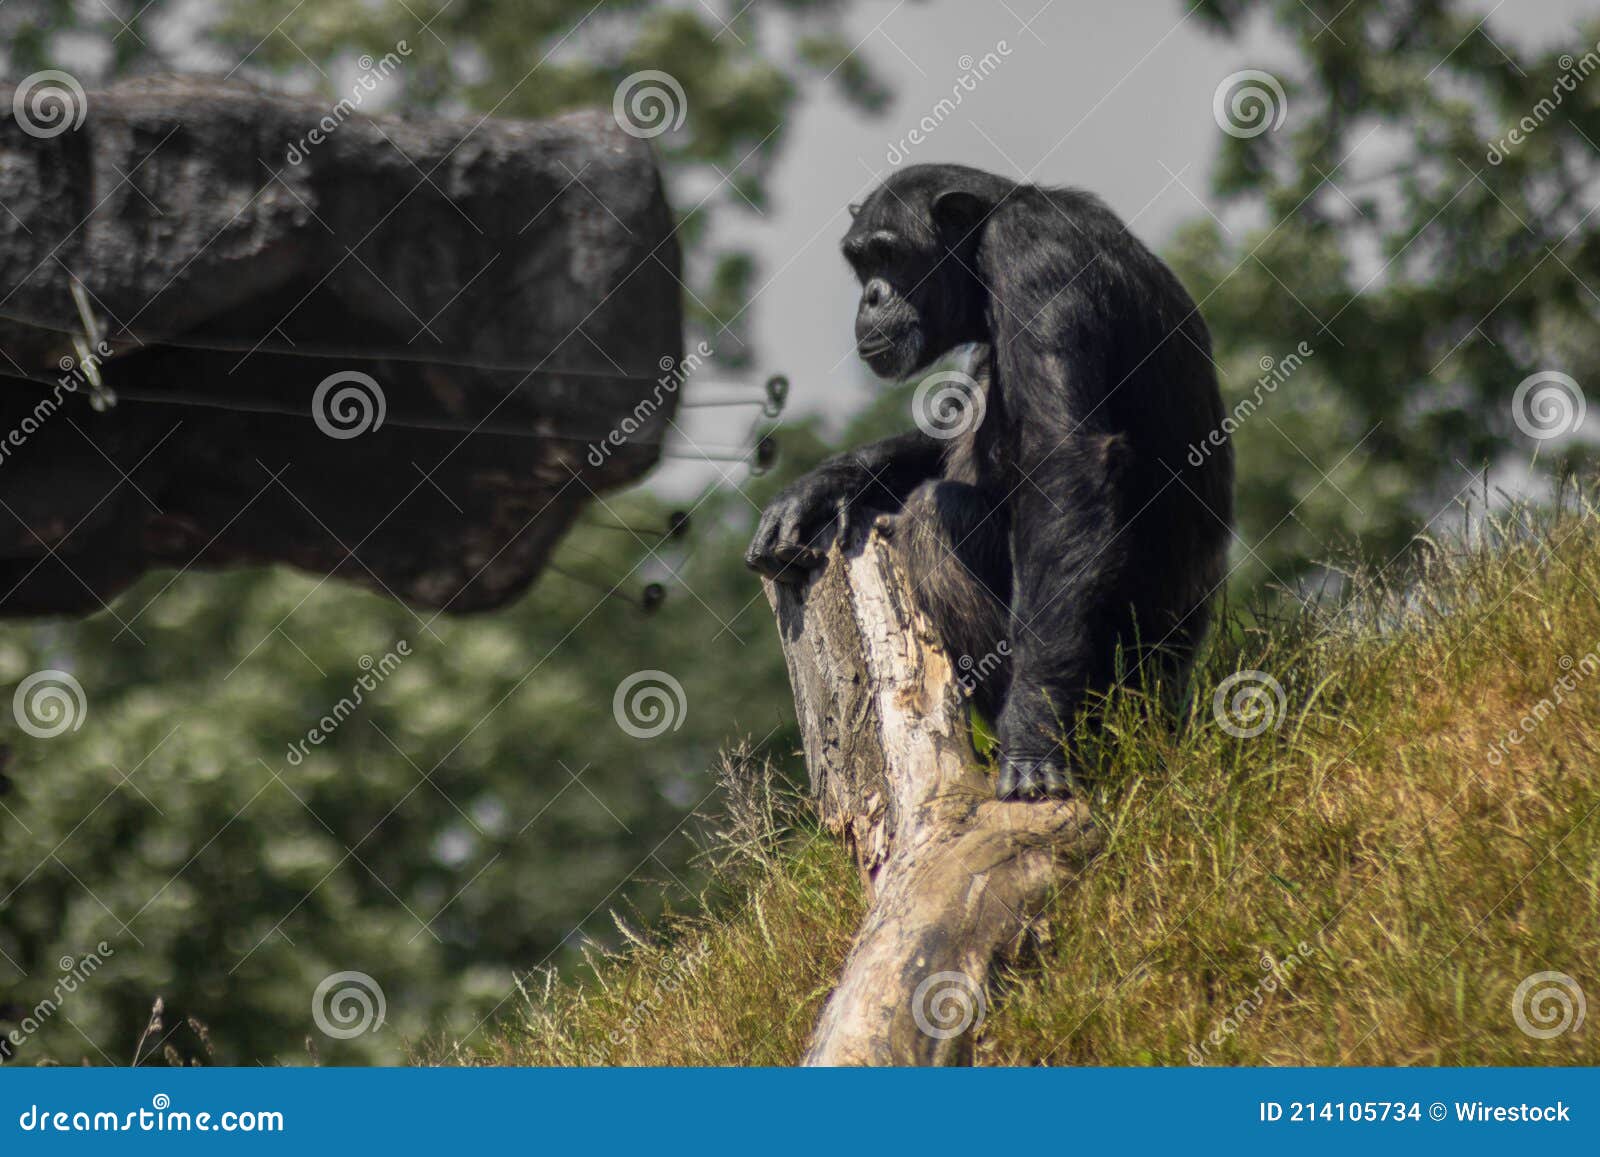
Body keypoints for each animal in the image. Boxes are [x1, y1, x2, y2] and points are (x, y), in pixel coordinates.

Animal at [746, 163, 1233, 800]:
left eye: (889, 255)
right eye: (861, 260)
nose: (871, 295)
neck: (983, 255)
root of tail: (1173, 702)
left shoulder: (1035, 258)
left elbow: (1065, 457)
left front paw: (1032, 734)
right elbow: (952, 433)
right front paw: (818, 490)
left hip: (1126, 684)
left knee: (936, 516)